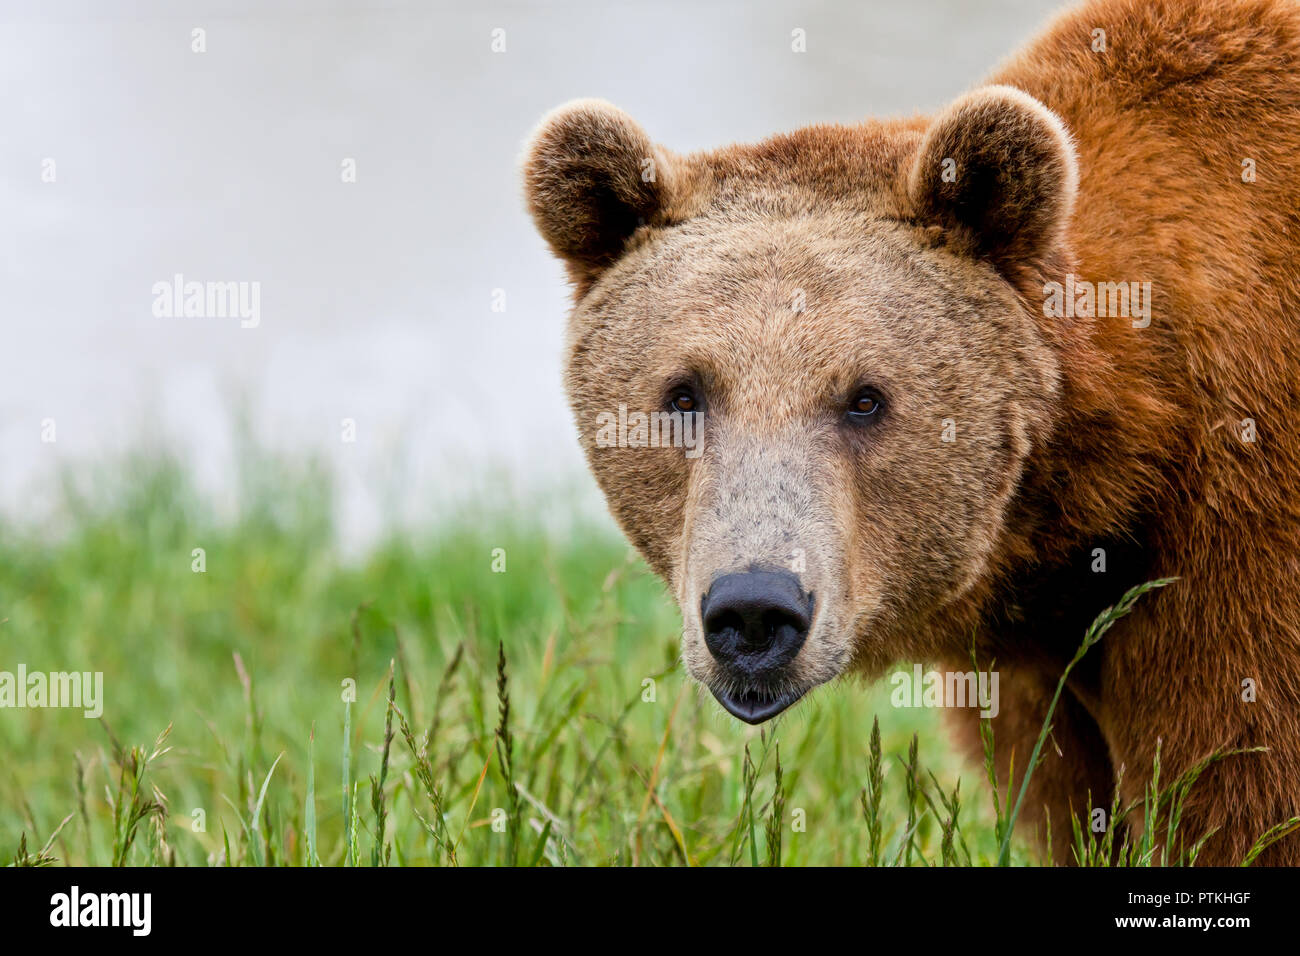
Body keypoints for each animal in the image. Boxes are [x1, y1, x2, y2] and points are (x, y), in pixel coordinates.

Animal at [522, 0, 1300, 865]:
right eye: (685, 394)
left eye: (865, 398)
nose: (754, 610)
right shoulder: (1049, 665)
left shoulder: (1237, 546)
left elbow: (1237, 790)